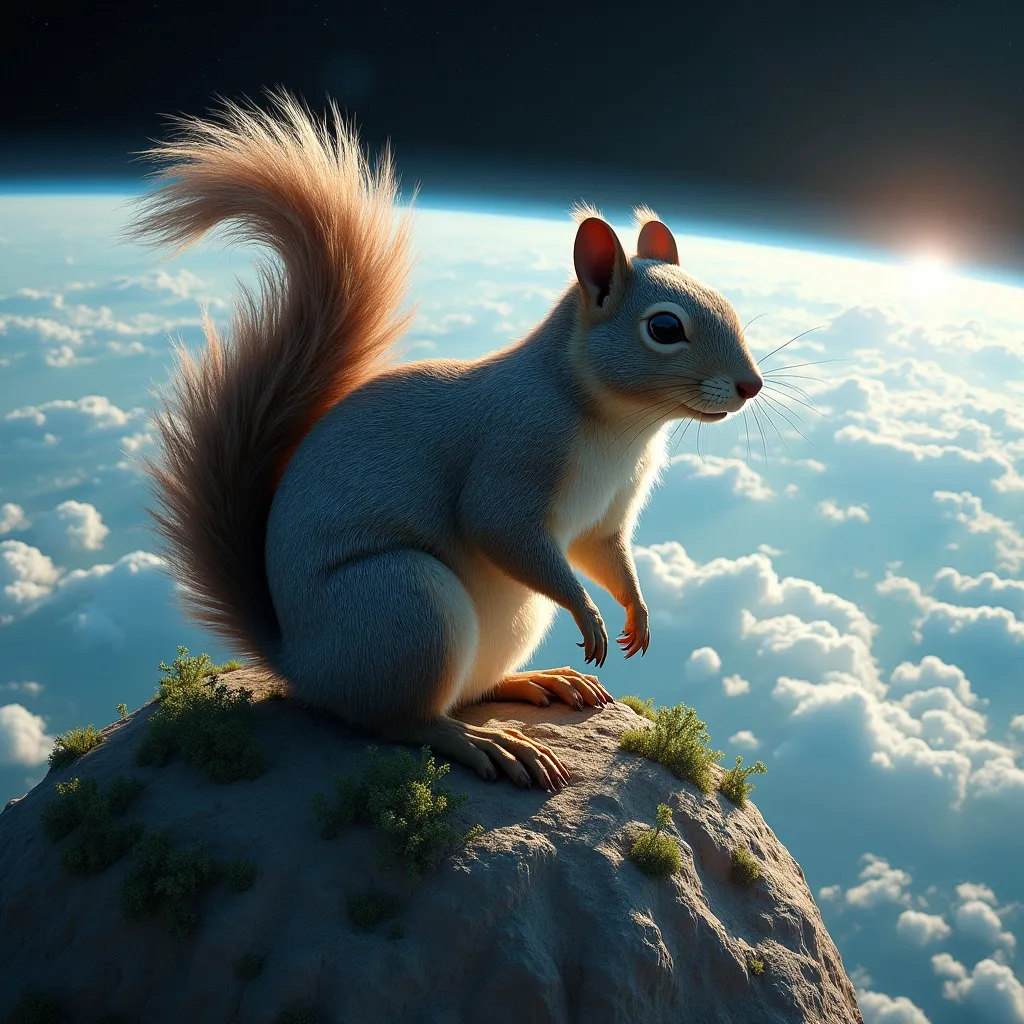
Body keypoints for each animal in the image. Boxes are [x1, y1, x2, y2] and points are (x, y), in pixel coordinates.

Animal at [126, 89, 763, 793]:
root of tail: (300, 665)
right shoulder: (514, 446)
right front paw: (591, 618)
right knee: (403, 720)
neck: (624, 426)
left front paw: (636, 616)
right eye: (664, 328)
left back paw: (541, 682)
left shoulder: (609, 511)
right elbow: (495, 525)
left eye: (729, 305)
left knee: (469, 688)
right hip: (406, 607)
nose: (751, 384)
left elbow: (604, 551)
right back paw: (487, 742)